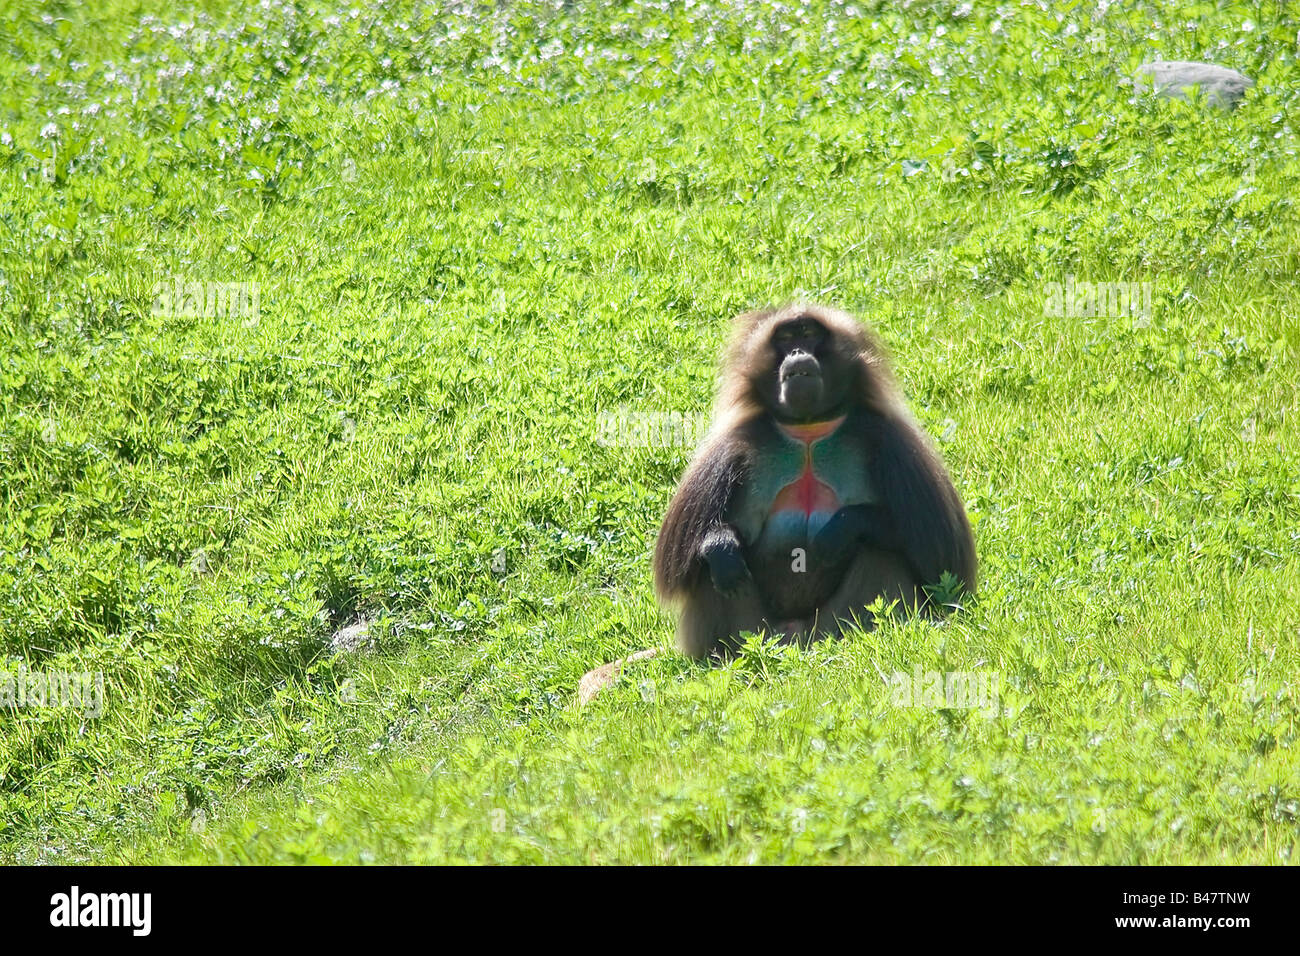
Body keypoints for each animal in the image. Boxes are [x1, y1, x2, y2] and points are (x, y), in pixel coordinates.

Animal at [652, 302, 975, 660]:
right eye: (785, 338)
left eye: (808, 334)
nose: (797, 352)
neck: (808, 431)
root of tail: (799, 639)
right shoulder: (731, 448)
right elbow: (677, 564)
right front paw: (720, 542)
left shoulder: (890, 440)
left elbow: (943, 560)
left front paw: (841, 529)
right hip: (758, 633)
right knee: (715, 570)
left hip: (832, 628)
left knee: (880, 550)